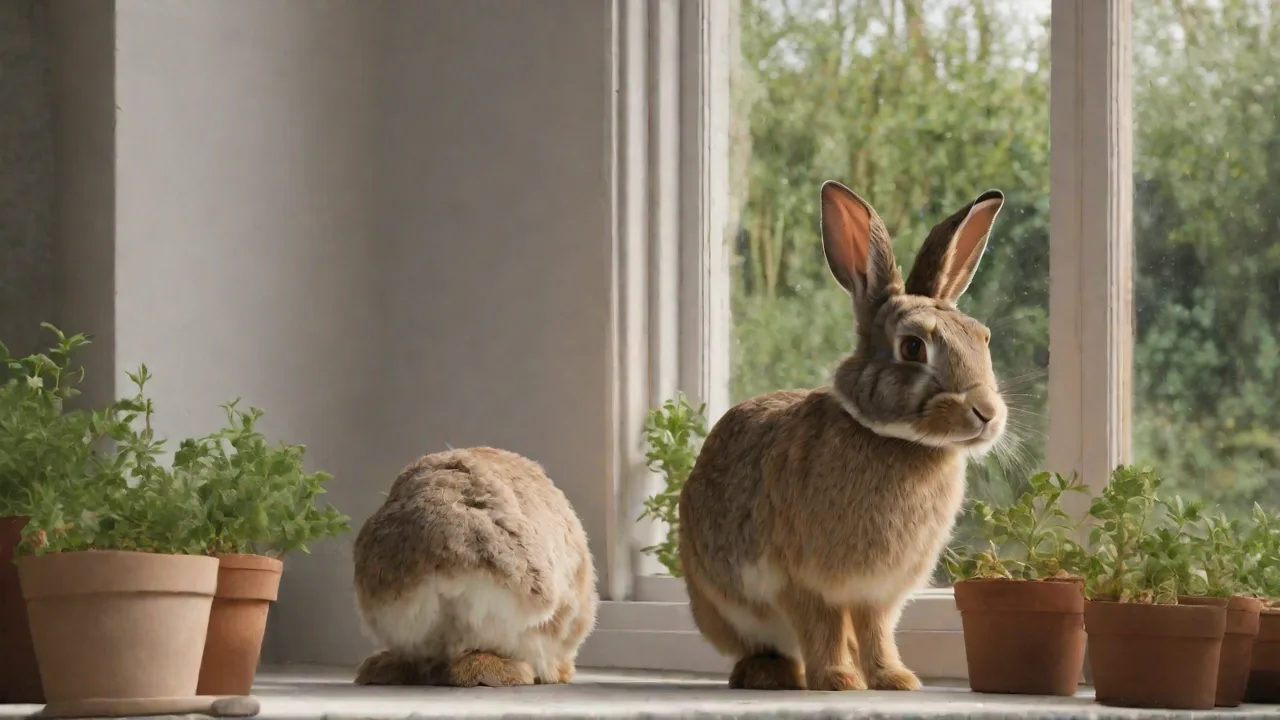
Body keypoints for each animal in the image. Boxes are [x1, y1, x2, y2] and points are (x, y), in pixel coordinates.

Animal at [678, 181, 1008, 693]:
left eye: (983, 338)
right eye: (913, 347)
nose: (986, 414)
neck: (893, 439)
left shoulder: (878, 594)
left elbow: (876, 632)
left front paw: (894, 680)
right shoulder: (802, 581)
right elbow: (822, 627)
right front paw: (838, 681)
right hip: (723, 605)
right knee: (765, 644)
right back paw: (772, 675)